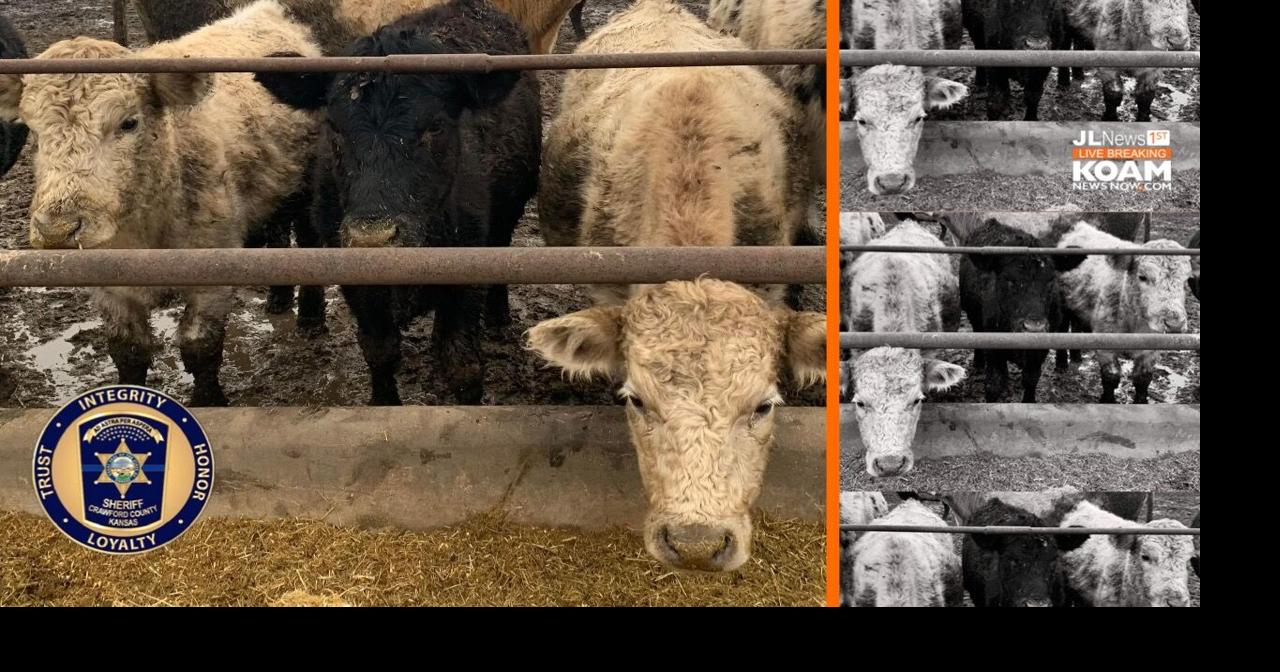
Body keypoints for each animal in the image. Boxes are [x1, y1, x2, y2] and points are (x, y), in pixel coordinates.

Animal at [3, 1, 322, 406]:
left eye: (128, 122)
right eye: (32, 129)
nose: (57, 229)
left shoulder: (213, 276)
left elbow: (200, 346)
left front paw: (210, 400)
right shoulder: (108, 287)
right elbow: (128, 351)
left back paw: (311, 318)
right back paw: (278, 299)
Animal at [255, 0, 541, 406]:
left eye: (435, 126)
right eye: (335, 127)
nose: (372, 238)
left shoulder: (468, 270)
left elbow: (462, 363)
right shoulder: (358, 286)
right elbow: (379, 349)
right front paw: (384, 402)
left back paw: (499, 318)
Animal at [959, 219, 1084, 402]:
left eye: (1050, 280)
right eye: (1009, 280)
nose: (1034, 328)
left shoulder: (1040, 350)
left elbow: (1031, 378)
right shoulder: (992, 344)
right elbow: (993, 384)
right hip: (973, 316)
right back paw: (979, 363)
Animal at [1053, 221, 1191, 403]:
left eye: (1186, 280)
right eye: (1142, 277)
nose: (1175, 324)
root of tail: (1081, 227)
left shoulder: (1152, 349)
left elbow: (1143, 379)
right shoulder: (1105, 343)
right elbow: (1111, 376)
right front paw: (1107, 400)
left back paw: (1076, 356)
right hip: (1062, 303)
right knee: (1061, 328)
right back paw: (1061, 364)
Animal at [1056, 0, 1191, 120]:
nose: (1178, 42)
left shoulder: (1153, 68)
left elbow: (1145, 97)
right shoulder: (1107, 62)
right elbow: (1113, 94)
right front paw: (1110, 118)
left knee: (1078, 42)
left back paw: (1078, 74)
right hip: (1062, 19)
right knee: (1064, 46)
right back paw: (1063, 83)